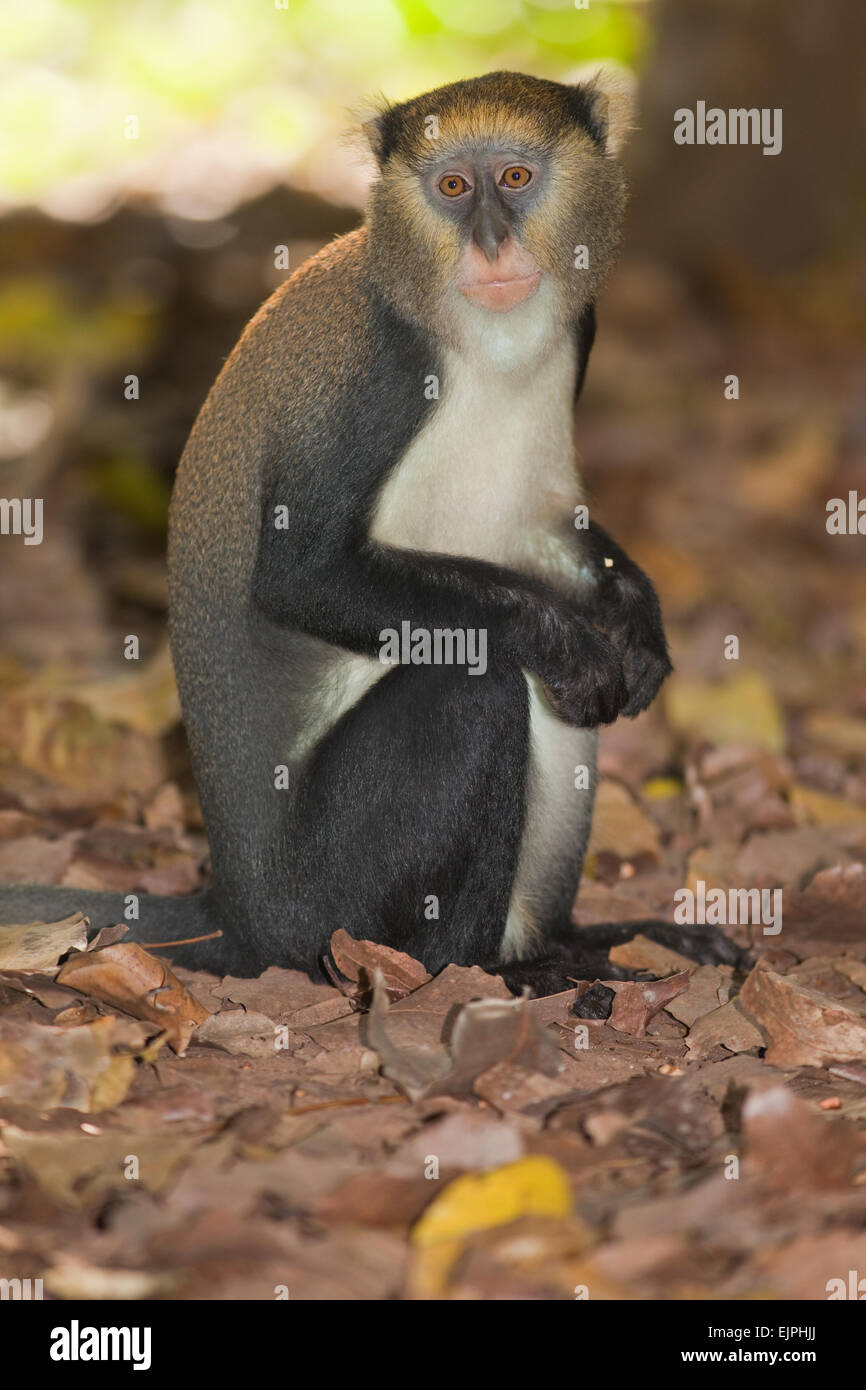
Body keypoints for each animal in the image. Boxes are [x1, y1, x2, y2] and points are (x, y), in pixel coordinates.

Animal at [0, 72, 739, 992]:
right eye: (453, 187)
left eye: (515, 179)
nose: (490, 244)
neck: (477, 341)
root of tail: (234, 914)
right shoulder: (379, 373)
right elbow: (306, 576)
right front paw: (563, 638)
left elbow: (545, 526)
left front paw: (637, 626)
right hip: (319, 904)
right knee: (476, 684)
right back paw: (485, 972)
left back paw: (570, 943)